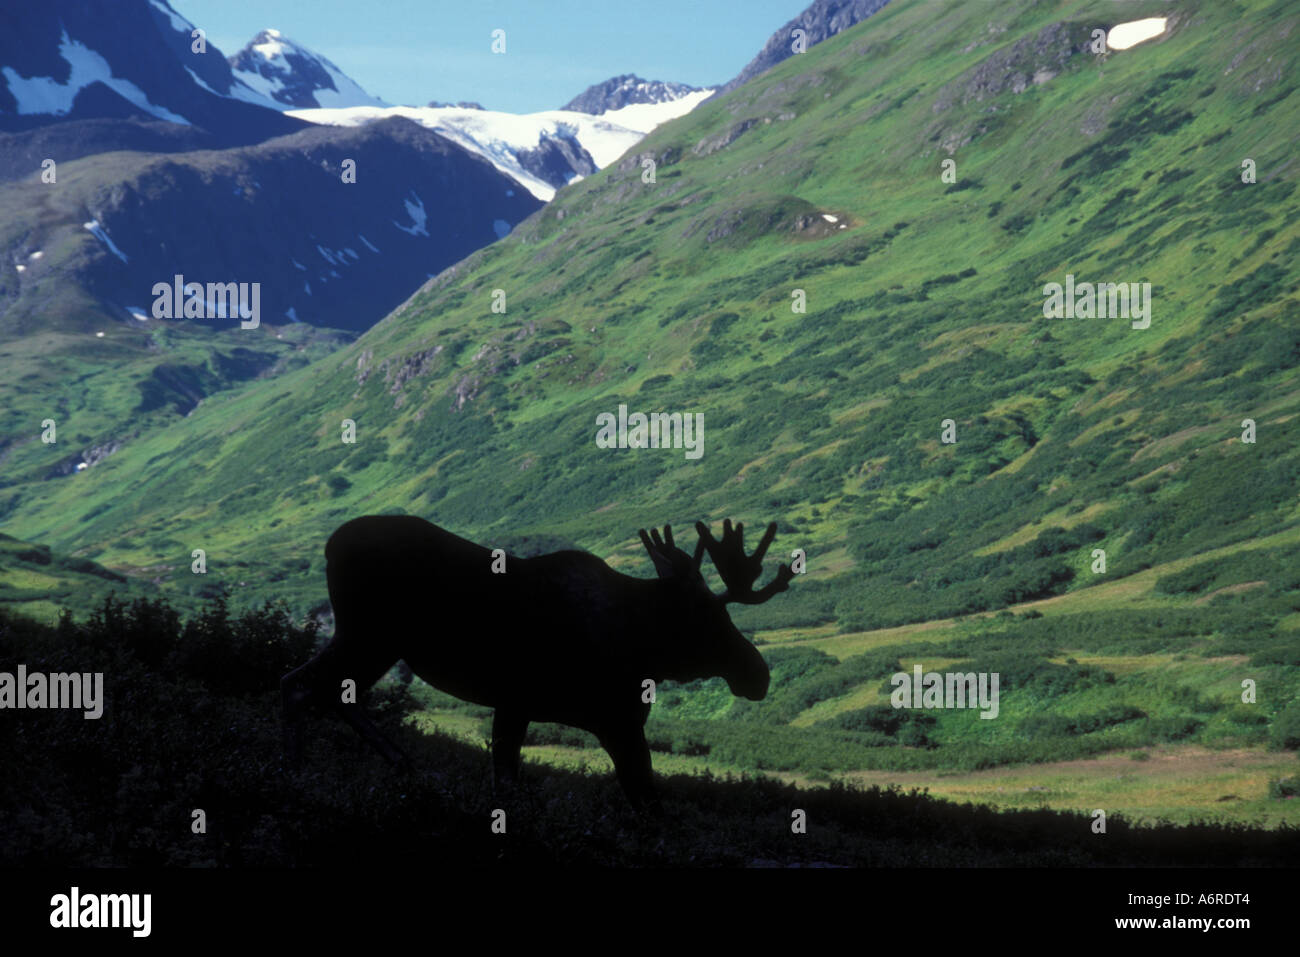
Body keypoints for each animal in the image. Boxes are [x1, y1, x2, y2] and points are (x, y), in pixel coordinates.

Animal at [281, 515, 795, 807]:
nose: (758, 674)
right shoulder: (610, 720)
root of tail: (328, 545)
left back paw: (396, 764)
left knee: (321, 689)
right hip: (370, 635)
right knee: (300, 685)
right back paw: (297, 778)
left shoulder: (528, 708)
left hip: (374, 642)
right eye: (711, 616)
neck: (643, 642)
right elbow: (648, 804)